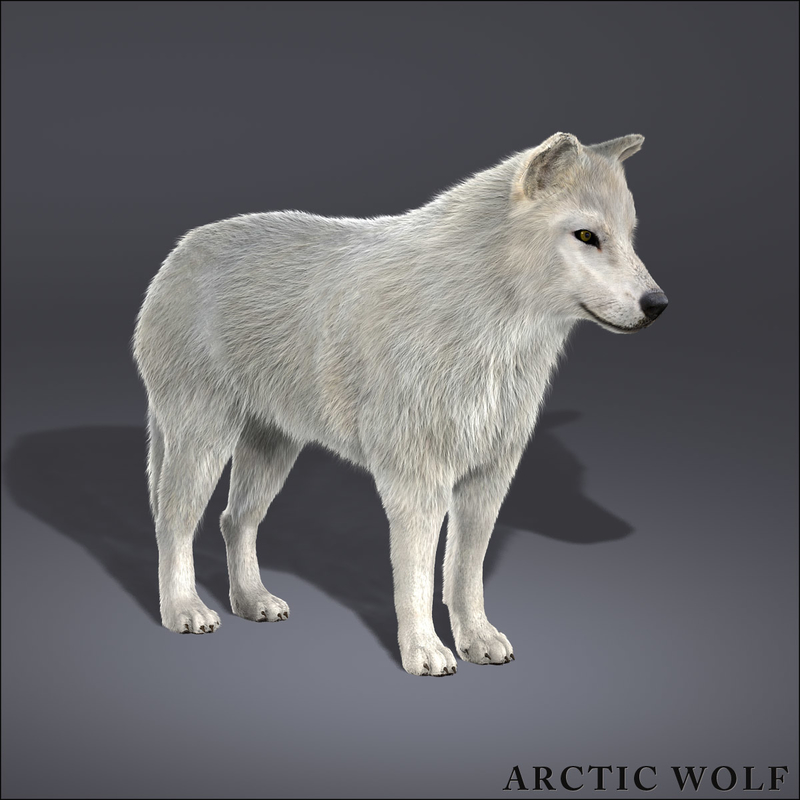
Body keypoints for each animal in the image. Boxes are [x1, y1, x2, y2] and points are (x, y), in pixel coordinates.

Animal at [132, 132, 667, 676]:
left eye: (629, 237)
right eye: (586, 236)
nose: (658, 304)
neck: (487, 327)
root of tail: (180, 251)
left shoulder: (488, 479)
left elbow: (465, 572)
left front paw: (477, 639)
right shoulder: (416, 483)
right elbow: (417, 578)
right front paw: (425, 652)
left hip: (272, 448)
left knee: (234, 520)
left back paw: (252, 600)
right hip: (204, 440)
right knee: (173, 522)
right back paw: (184, 610)